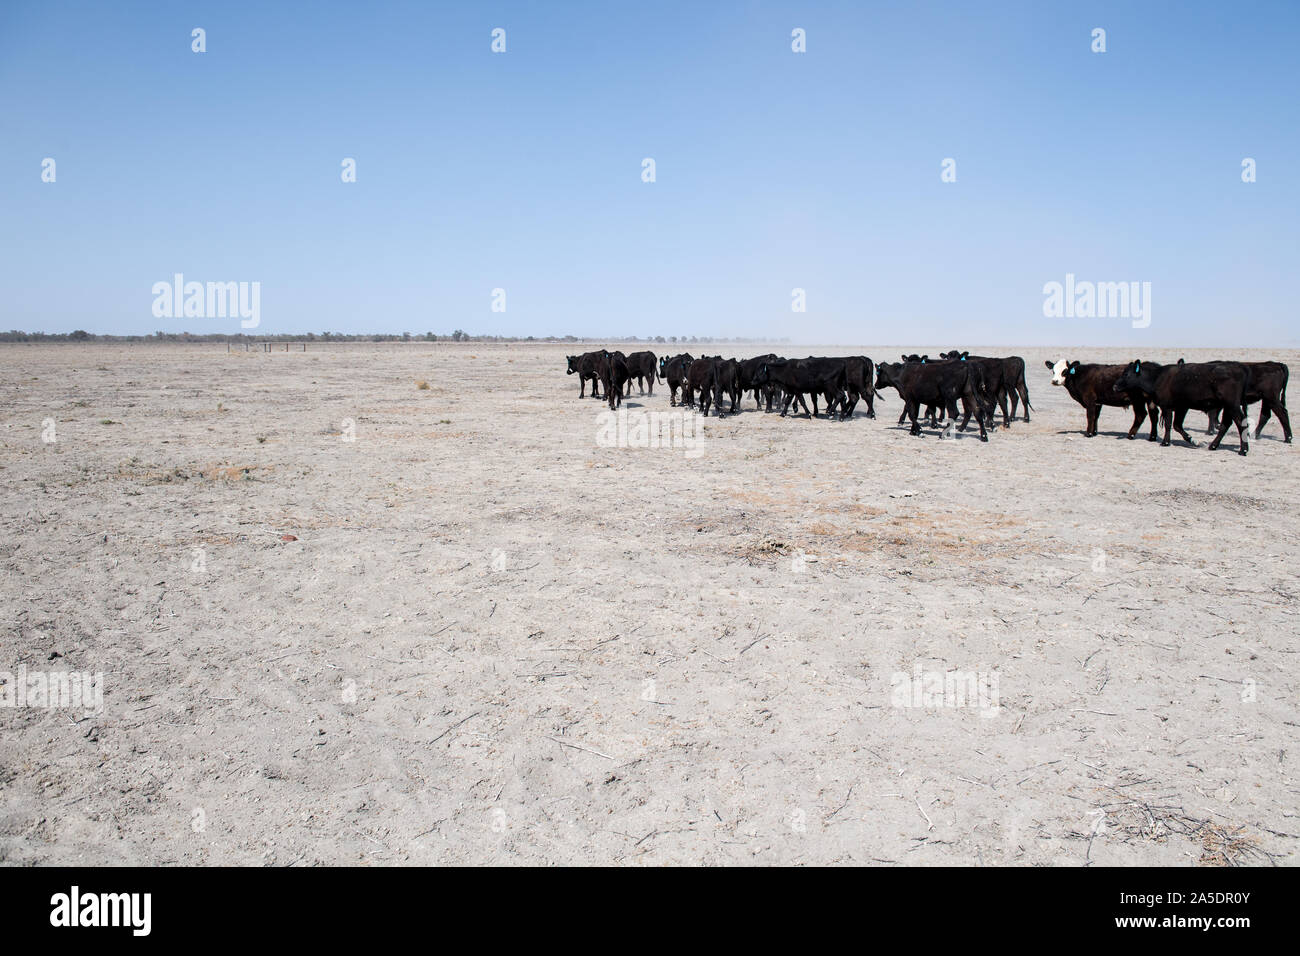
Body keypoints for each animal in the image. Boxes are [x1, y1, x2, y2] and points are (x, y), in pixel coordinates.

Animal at [1112, 359, 1250, 455]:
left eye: (1126, 374)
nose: (1114, 386)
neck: (1157, 377)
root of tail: (1239, 366)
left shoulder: (1167, 406)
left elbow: (1168, 424)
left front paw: (1165, 442)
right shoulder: (1182, 407)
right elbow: (1177, 425)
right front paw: (1193, 440)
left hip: (1232, 405)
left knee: (1241, 423)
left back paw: (1243, 450)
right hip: (1228, 407)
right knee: (1226, 424)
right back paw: (1213, 446)